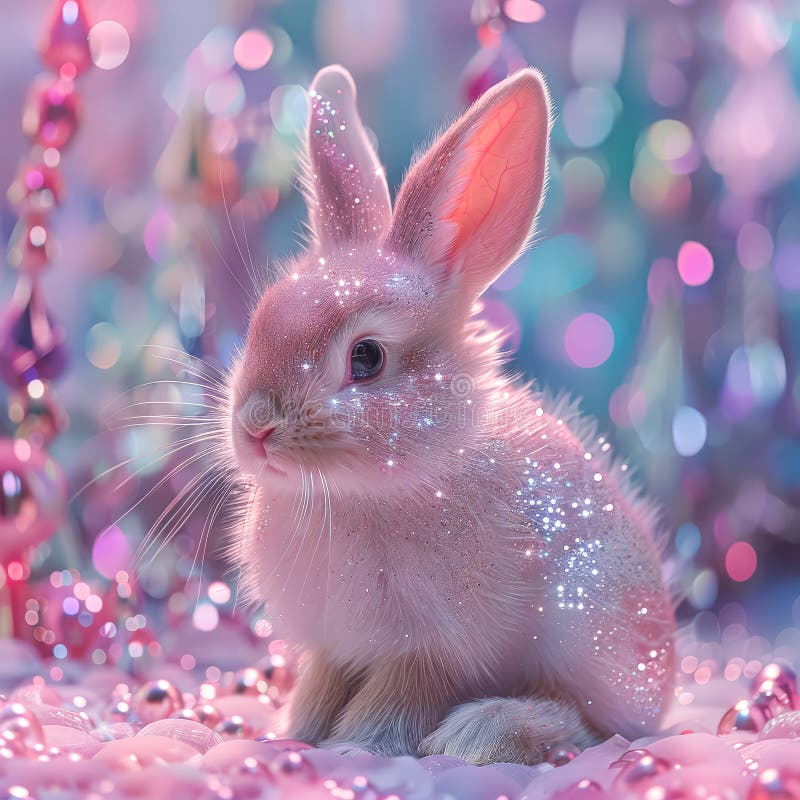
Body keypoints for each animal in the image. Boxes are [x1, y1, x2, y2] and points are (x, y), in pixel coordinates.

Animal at [226, 63, 675, 765]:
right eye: (261, 320)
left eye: (367, 358)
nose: (255, 427)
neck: (357, 492)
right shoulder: (335, 647)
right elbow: (320, 688)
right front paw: (293, 734)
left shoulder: (433, 649)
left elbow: (398, 703)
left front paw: (355, 750)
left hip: (589, 629)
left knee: (593, 724)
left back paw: (482, 734)